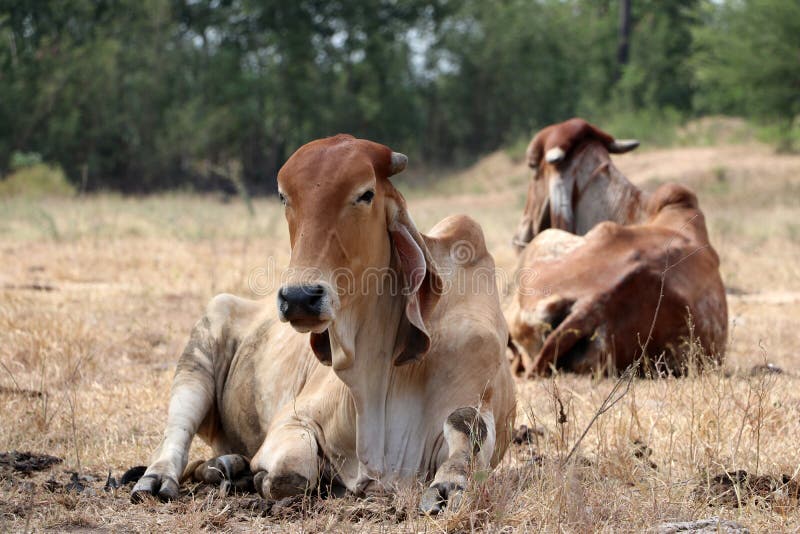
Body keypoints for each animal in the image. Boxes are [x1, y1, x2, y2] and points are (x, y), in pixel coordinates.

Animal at [131, 135, 516, 515]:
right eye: (284, 197)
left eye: (365, 194)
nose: (300, 297)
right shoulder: (293, 421)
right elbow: (290, 474)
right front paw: (260, 477)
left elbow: (466, 424)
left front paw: (449, 486)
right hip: (200, 348)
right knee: (178, 429)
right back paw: (166, 477)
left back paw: (226, 466)